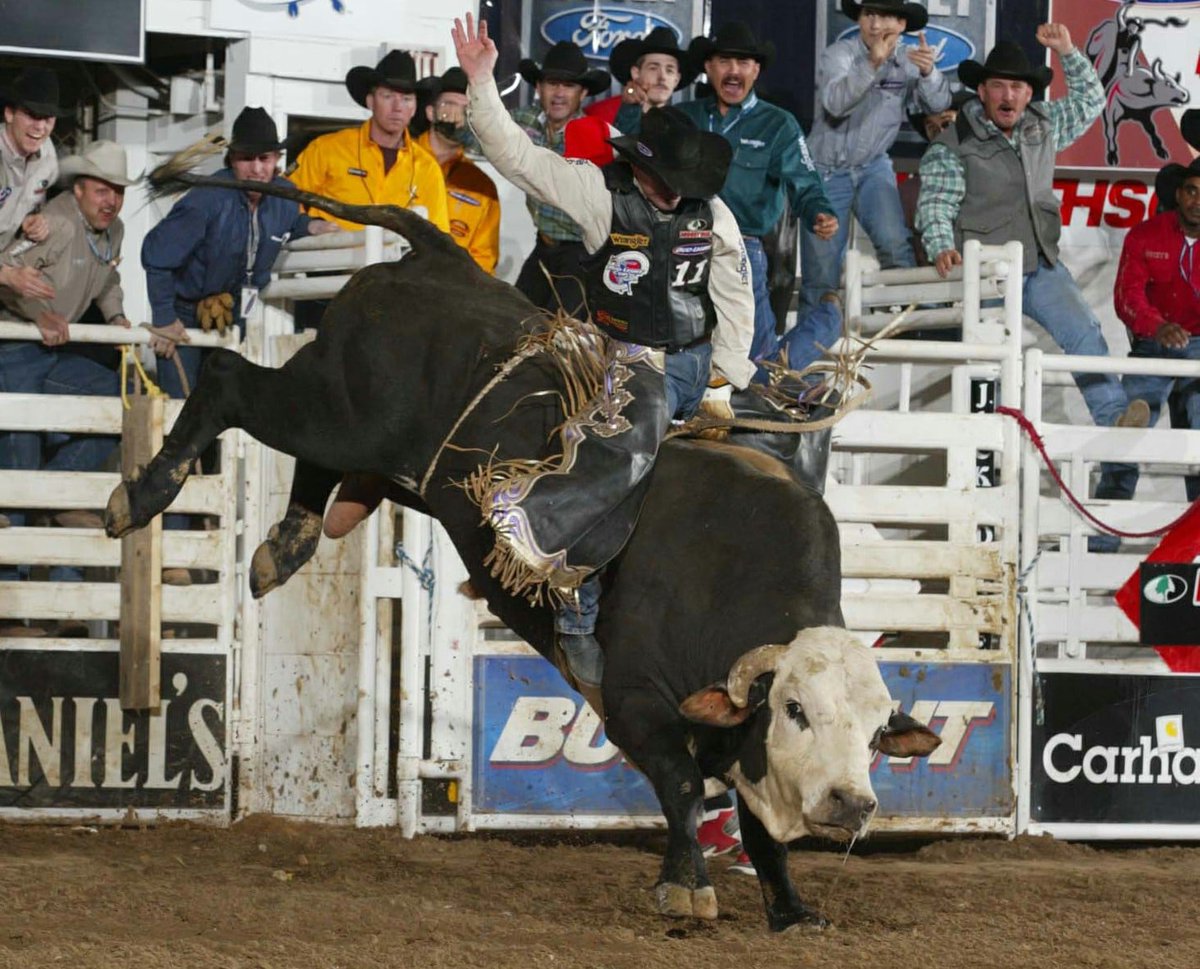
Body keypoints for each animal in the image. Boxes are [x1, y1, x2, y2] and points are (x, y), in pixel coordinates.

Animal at [105, 169, 939, 931]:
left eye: (875, 729)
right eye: (795, 708)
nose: (851, 802)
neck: (725, 577)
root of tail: (436, 258)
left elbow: (759, 826)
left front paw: (791, 907)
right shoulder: (632, 699)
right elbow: (678, 782)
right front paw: (685, 886)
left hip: (367, 442)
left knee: (308, 455)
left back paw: (283, 546)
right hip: (337, 408)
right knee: (226, 378)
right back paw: (140, 497)